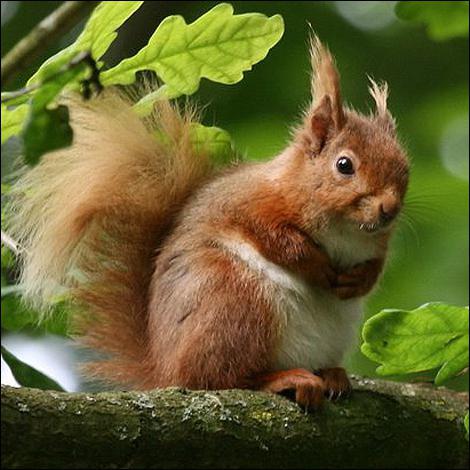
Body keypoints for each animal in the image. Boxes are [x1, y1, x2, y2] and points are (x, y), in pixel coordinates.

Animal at [9, 36, 410, 410]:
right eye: (344, 165)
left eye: (405, 168)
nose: (389, 208)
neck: (344, 229)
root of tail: (165, 370)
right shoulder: (249, 203)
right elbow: (277, 240)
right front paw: (315, 265)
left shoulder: (377, 243)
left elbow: (376, 265)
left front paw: (359, 279)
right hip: (234, 303)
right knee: (217, 378)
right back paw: (283, 380)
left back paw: (331, 374)